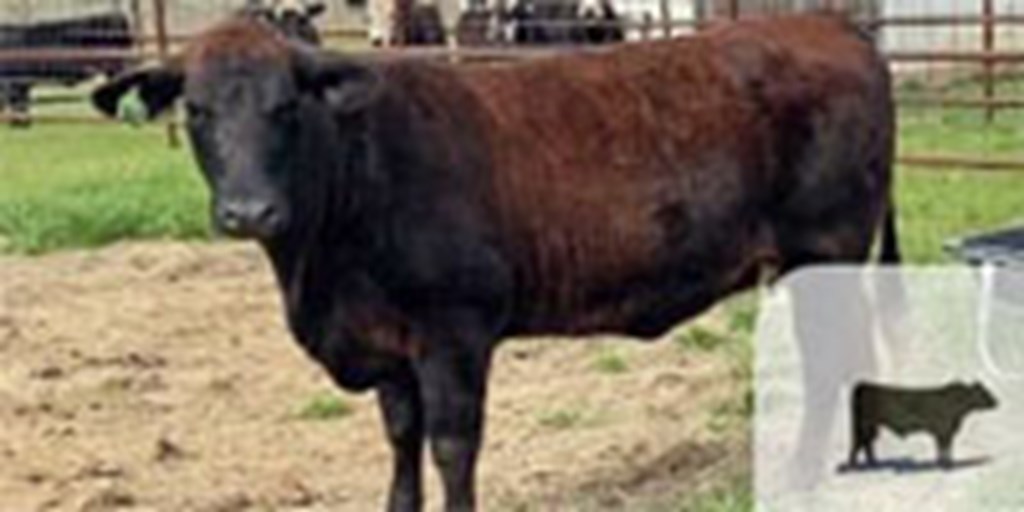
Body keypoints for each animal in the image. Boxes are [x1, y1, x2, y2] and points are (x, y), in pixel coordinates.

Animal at [91, 13, 898, 511]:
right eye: (196, 111)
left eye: (287, 107)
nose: (250, 212)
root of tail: (831, 26)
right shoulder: (388, 343)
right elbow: (401, 437)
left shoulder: (455, 329)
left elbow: (452, 444)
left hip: (823, 254)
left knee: (833, 361)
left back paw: (805, 477)